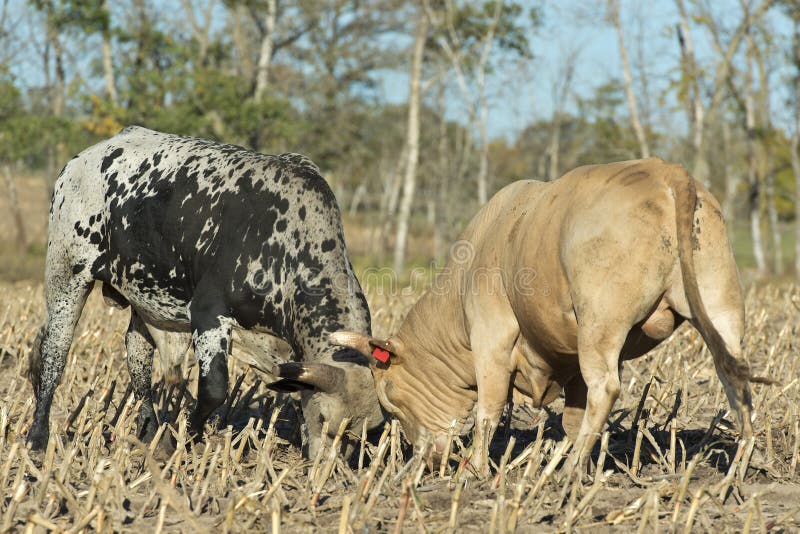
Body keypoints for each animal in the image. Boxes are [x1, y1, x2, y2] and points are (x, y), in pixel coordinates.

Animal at [27, 126, 384, 458]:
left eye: (362, 434)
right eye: (324, 418)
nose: (324, 467)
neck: (291, 243)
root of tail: (82, 159)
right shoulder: (208, 312)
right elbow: (214, 388)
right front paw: (190, 436)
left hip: (144, 299)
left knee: (138, 361)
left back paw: (151, 434)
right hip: (66, 279)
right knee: (54, 355)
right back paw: (38, 437)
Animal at [292, 158, 770, 472]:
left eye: (389, 395)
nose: (425, 457)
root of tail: (666, 172)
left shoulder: (492, 335)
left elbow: (489, 409)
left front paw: (477, 469)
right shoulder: (566, 360)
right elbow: (572, 417)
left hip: (600, 324)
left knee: (607, 388)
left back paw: (570, 472)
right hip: (721, 308)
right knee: (735, 379)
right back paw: (739, 466)